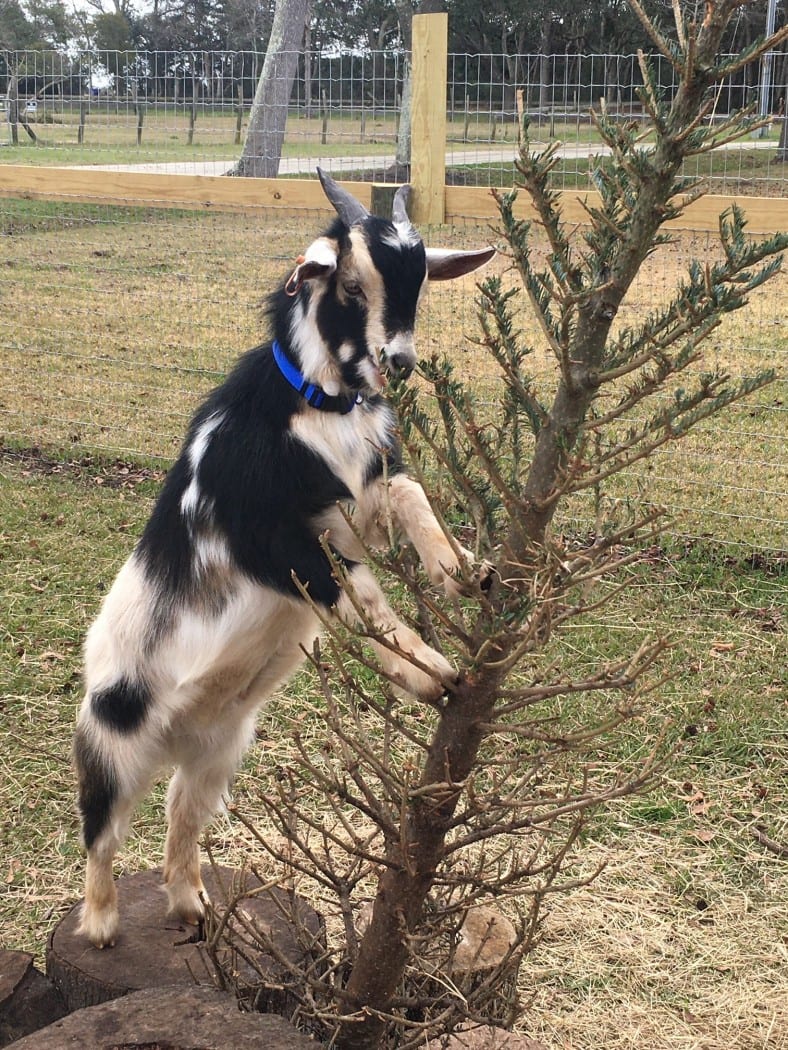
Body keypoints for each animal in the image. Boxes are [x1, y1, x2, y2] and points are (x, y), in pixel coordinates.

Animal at [73, 169, 495, 949]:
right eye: (350, 285)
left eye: (422, 277)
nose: (398, 361)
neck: (313, 408)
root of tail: (174, 734)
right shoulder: (275, 539)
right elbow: (356, 595)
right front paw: (431, 674)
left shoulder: (359, 499)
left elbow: (410, 494)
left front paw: (463, 569)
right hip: (111, 739)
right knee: (101, 830)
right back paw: (103, 923)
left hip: (218, 749)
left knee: (180, 812)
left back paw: (191, 906)